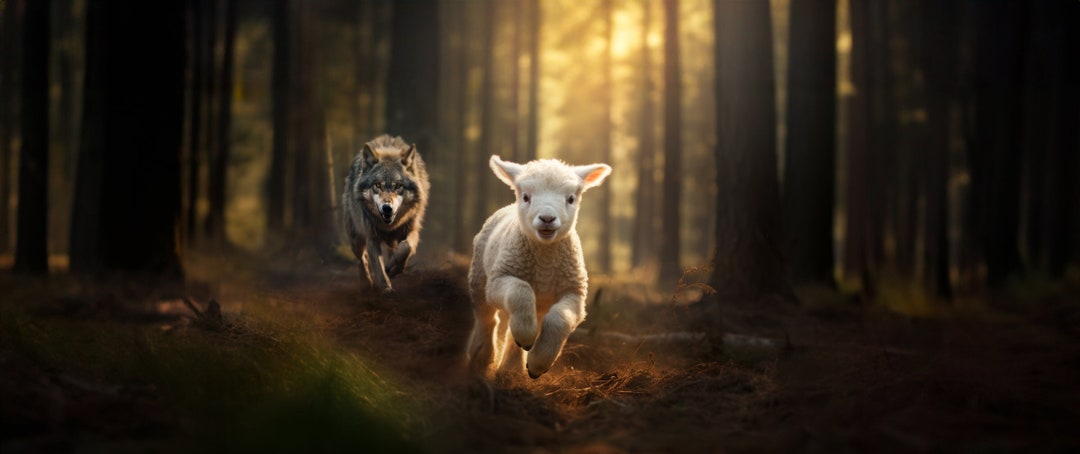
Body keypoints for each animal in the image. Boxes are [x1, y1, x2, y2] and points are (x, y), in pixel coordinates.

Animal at [342, 135, 430, 293]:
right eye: (377, 185)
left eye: (398, 186)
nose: (387, 208)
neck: (389, 226)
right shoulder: (372, 238)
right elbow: (379, 268)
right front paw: (386, 289)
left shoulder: (412, 229)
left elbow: (405, 248)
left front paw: (394, 269)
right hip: (355, 237)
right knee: (361, 258)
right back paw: (365, 281)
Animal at [466, 155, 612, 379]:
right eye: (526, 197)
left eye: (571, 199)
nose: (547, 219)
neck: (545, 259)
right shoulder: (500, 278)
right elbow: (520, 290)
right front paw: (527, 336)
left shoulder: (575, 294)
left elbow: (559, 320)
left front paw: (538, 363)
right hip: (480, 275)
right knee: (486, 317)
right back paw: (483, 355)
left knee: (512, 329)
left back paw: (511, 370)